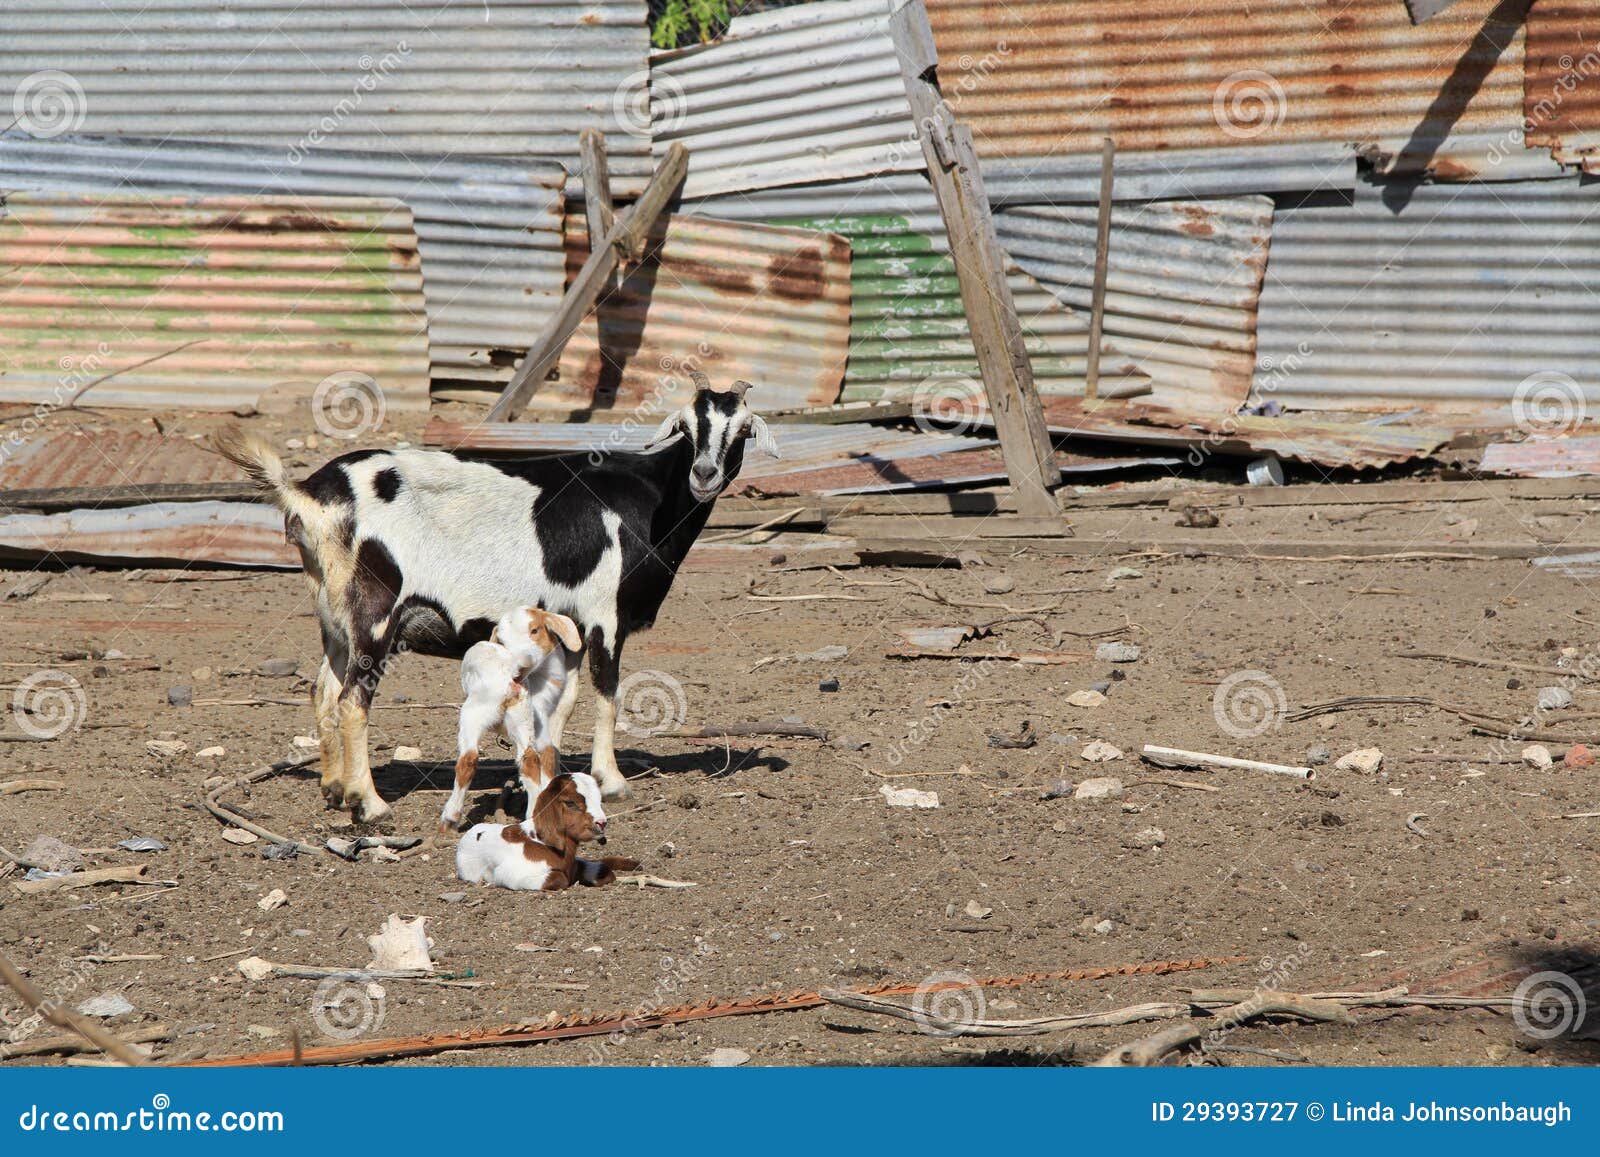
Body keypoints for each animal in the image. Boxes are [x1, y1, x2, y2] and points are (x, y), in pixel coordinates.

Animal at [440, 605, 584, 835]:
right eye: (503, 640)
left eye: (535, 630)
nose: (525, 663)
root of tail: (510, 674)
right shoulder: (540, 722)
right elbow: (549, 757)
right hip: (522, 717)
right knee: (529, 759)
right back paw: (532, 815)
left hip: (473, 713)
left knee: (469, 758)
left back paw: (450, 818)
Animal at [455, 771, 639, 892]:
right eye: (570, 803)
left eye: (600, 800)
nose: (602, 823)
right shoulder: (510, 874)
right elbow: (560, 878)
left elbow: (602, 869)